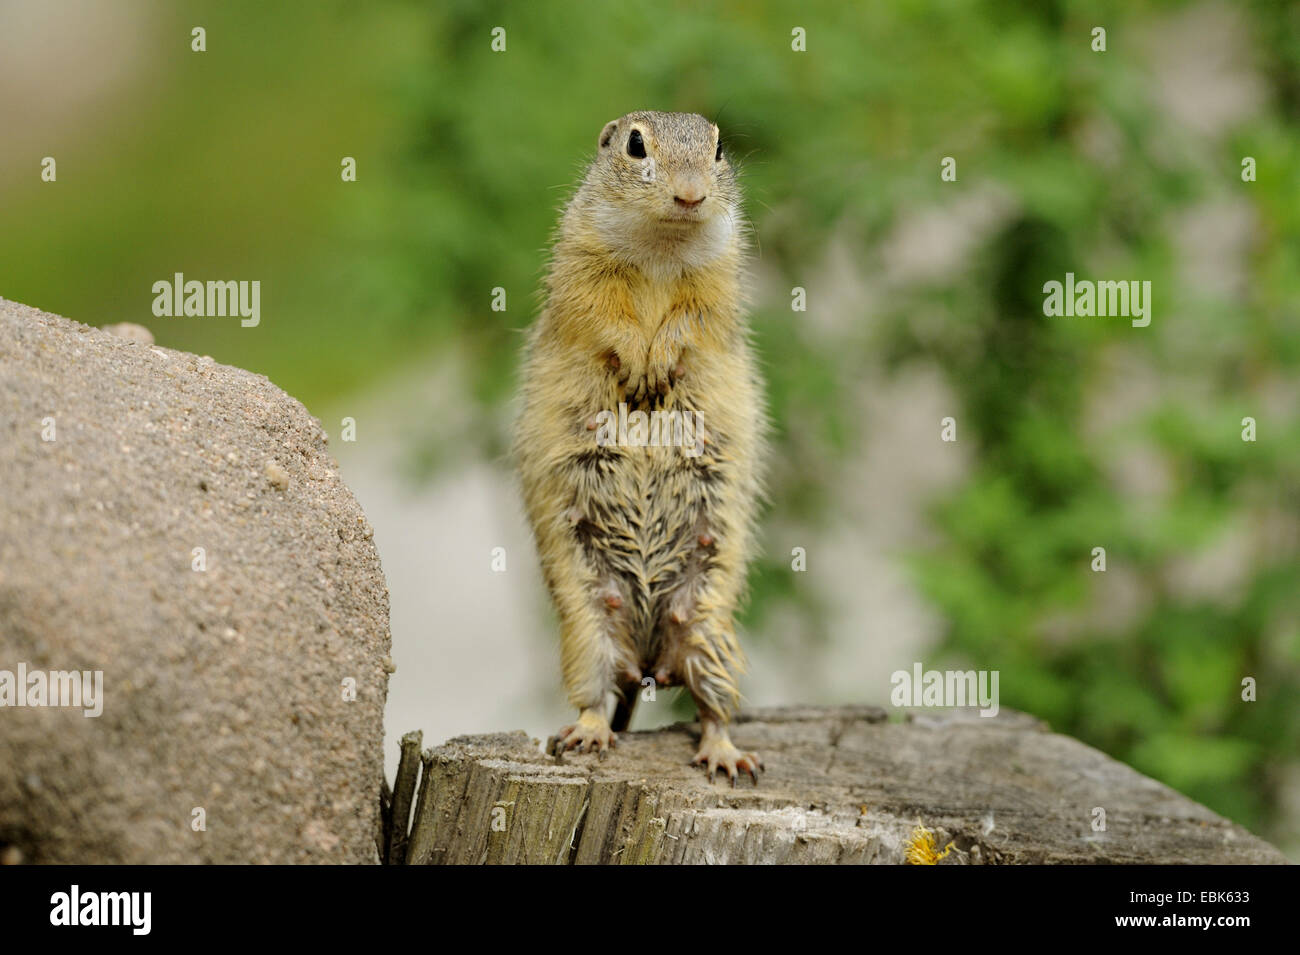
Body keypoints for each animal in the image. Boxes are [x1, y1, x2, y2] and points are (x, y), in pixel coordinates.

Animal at [514, 110, 767, 784]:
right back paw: (588, 735)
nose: (691, 195)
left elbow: (692, 321)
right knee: (595, 695)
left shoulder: (718, 283)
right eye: (634, 145)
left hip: (710, 633)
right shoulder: (581, 269)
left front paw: (660, 361)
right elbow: (605, 318)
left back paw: (726, 754)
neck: (662, 248)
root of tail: (650, 660)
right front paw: (637, 361)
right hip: (587, 632)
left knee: (713, 708)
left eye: (719, 148)